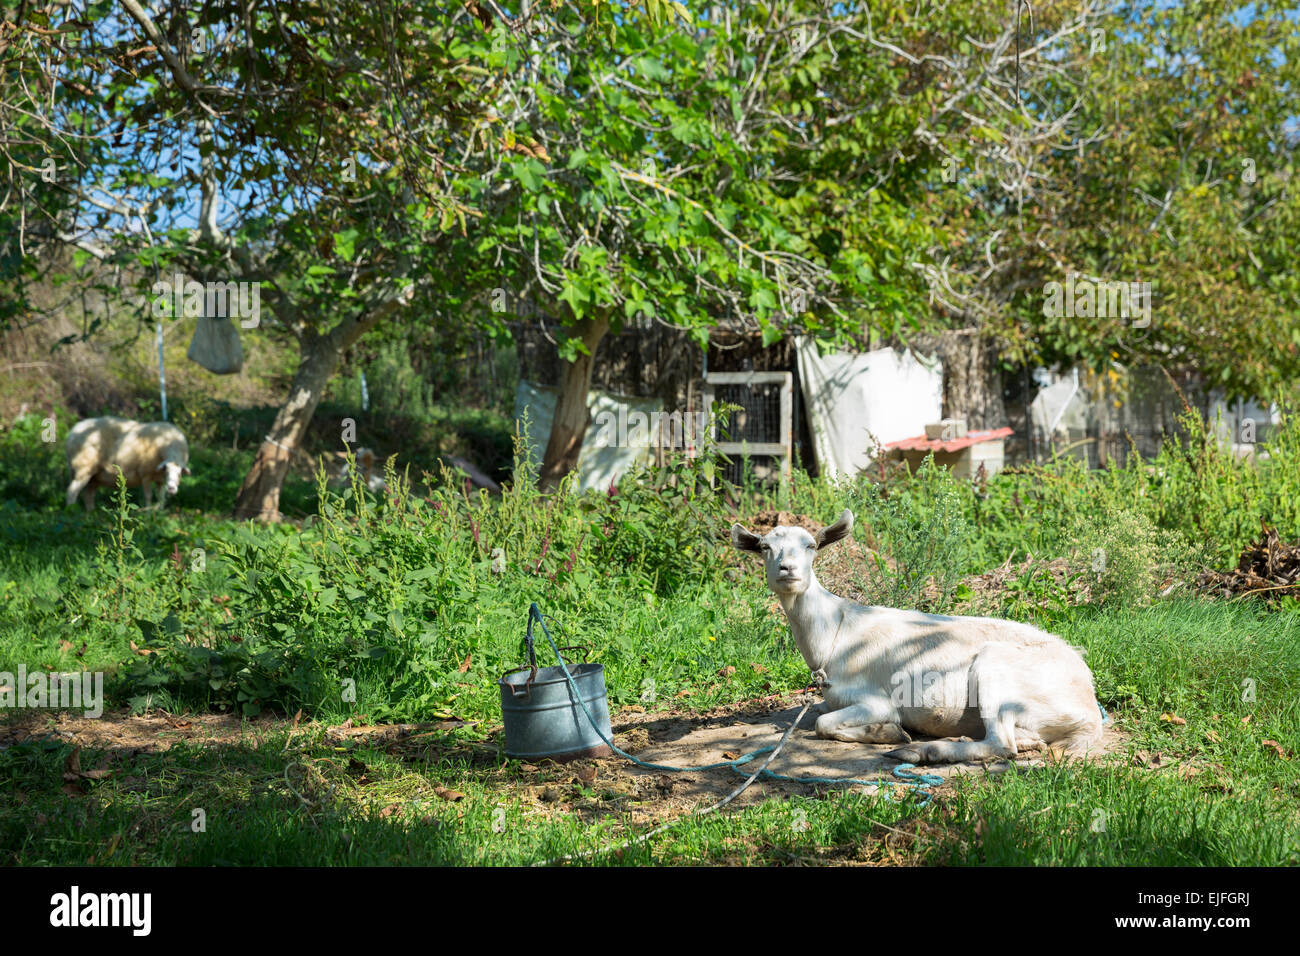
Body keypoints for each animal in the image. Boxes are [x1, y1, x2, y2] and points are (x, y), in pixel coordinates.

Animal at [730, 509, 1103, 764]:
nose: (788, 570)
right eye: (765, 547)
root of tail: (1089, 708)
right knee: (1019, 738)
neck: (835, 630)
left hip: (996, 671)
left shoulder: (875, 699)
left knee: (1001, 744)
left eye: (811, 545)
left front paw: (886, 732)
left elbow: (823, 723)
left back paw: (923, 751)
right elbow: (821, 715)